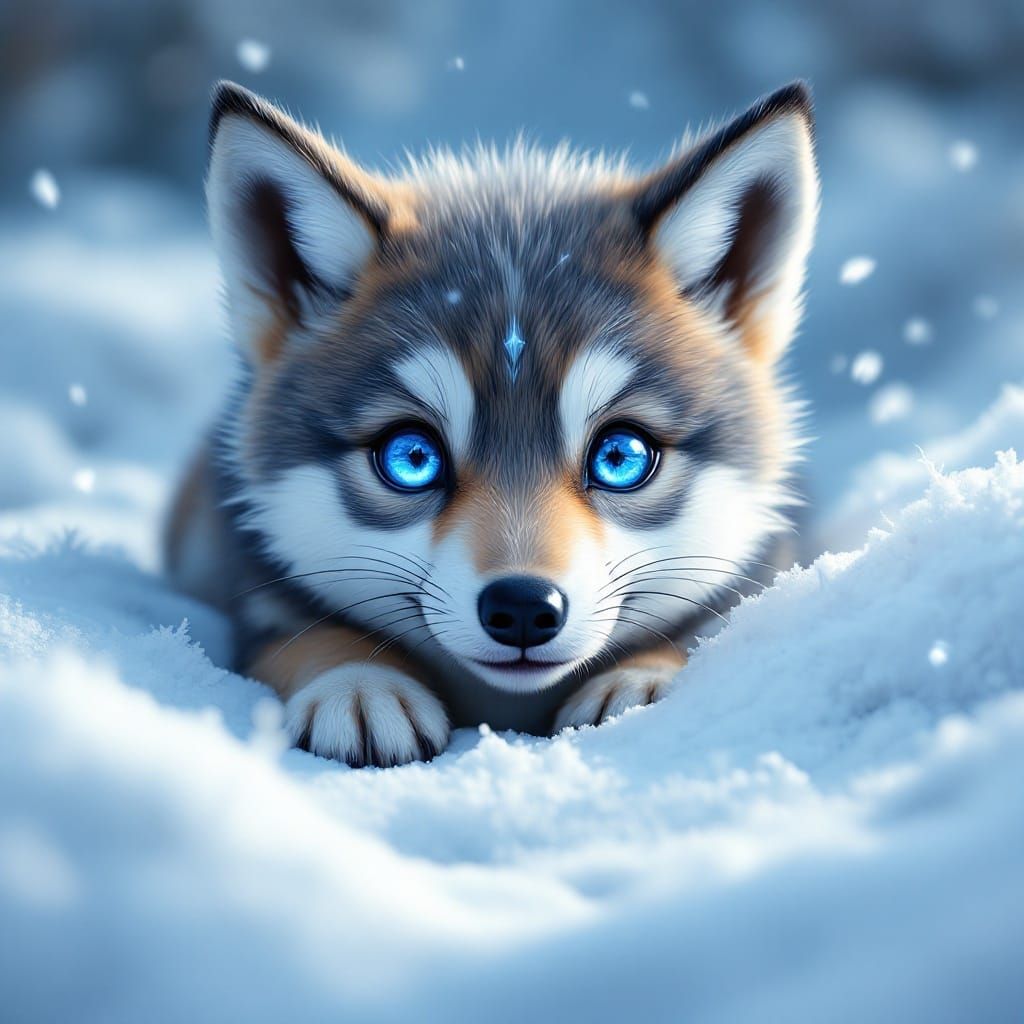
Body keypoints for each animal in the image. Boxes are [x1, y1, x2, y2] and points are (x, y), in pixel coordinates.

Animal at [165, 80, 818, 767]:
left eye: (621, 457)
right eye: (411, 458)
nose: (525, 607)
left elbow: (701, 632)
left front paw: (645, 675)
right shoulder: (251, 589)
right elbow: (302, 636)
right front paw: (357, 681)